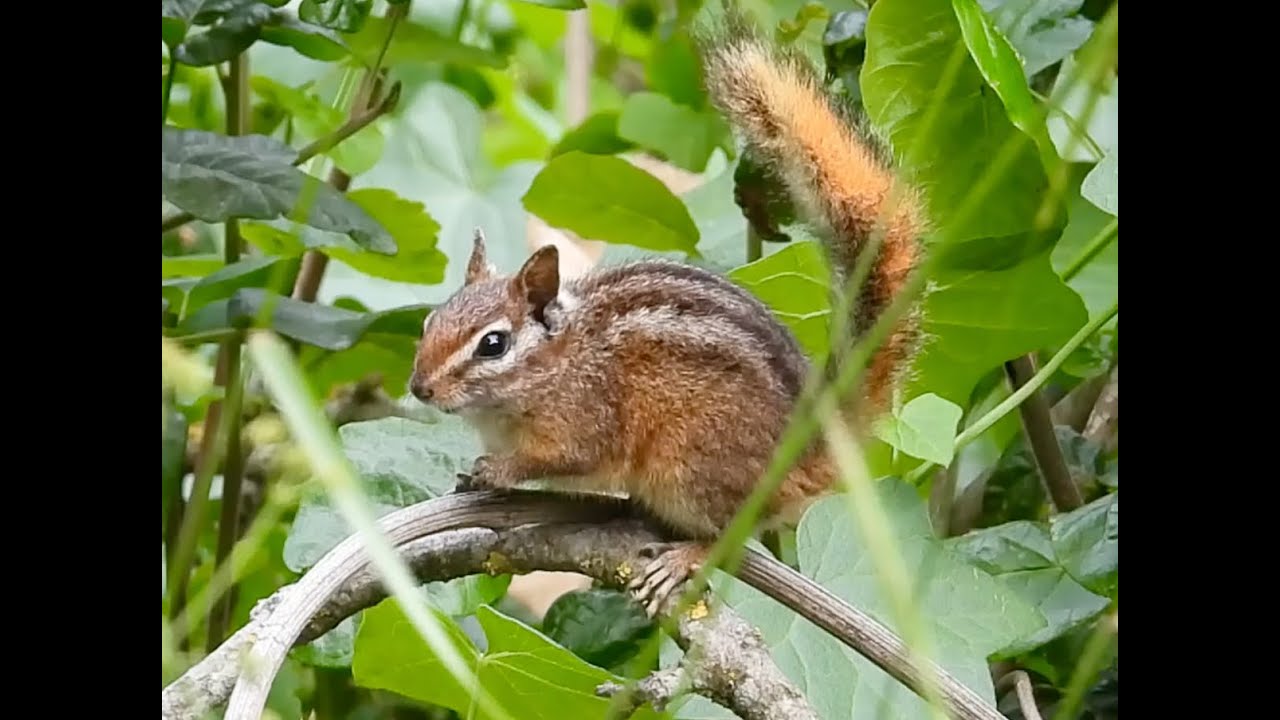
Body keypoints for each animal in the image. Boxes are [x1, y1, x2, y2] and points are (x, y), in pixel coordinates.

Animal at [408, 5, 926, 617]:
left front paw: (501, 470)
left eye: (493, 344)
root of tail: (816, 438)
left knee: (734, 534)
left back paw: (686, 557)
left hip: (691, 464)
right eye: (429, 322)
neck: (556, 364)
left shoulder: (585, 421)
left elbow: (563, 458)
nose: (419, 388)